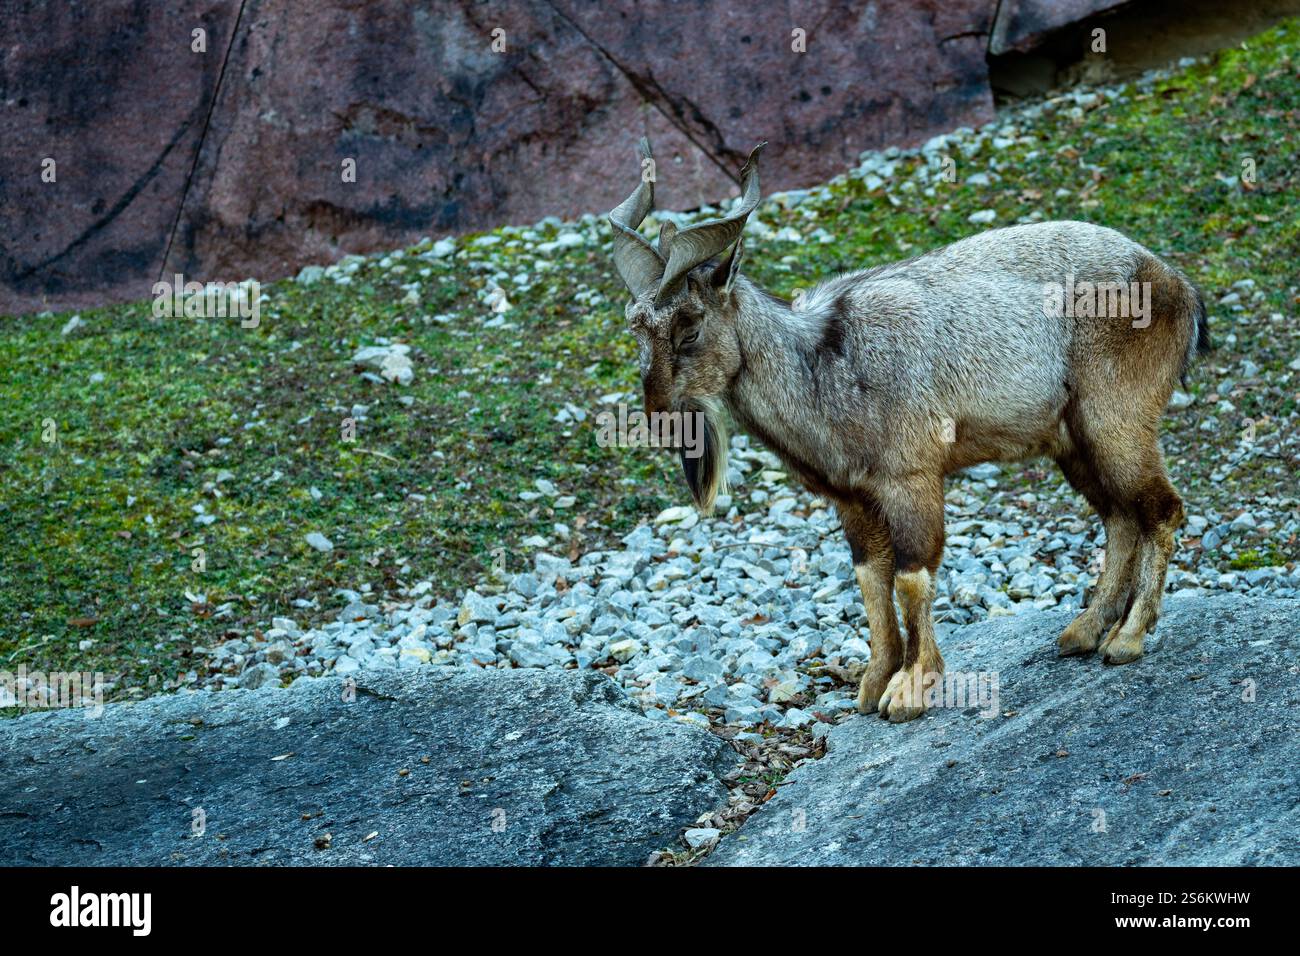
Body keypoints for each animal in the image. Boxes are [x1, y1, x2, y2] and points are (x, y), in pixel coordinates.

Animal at [608, 139, 1209, 723]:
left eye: (690, 329)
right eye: (636, 329)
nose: (658, 417)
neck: (825, 367)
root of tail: (1175, 284)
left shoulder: (911, 478)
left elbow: (910, 575)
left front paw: (911, 689)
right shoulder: (851, 497)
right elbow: (870, 577)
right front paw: (874, 681)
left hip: (1116, 419)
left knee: (1161, 508)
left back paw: (1127, 638)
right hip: (1073, 443)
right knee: (1120, 516)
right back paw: (1083, 631)